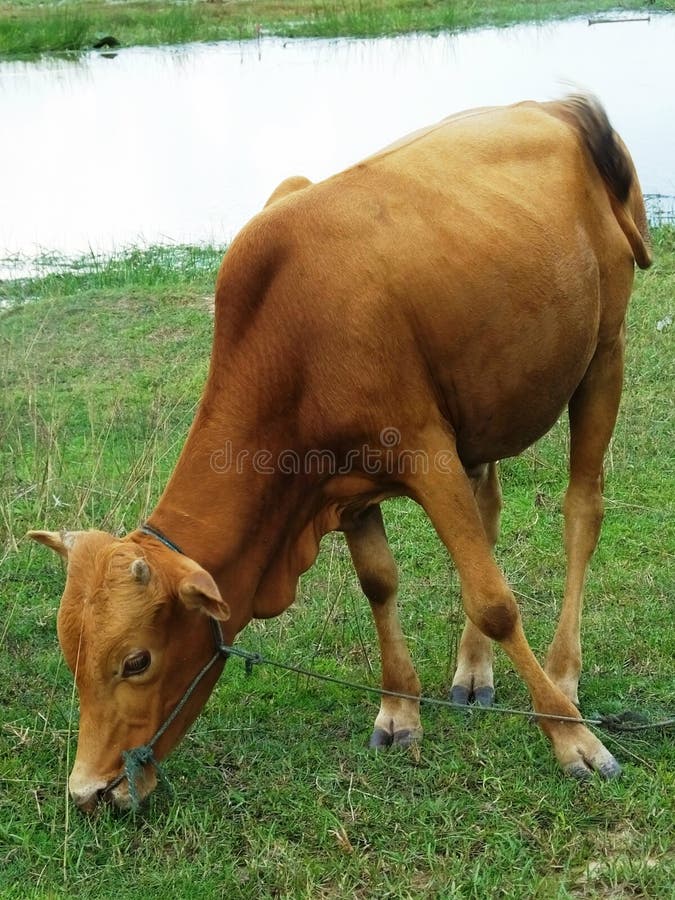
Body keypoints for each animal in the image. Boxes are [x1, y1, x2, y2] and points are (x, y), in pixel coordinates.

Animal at [30, 95, 652, 812]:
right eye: (69, 654)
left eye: (136, 661)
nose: (89, 792)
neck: (292, 336)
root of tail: (553, 106)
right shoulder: (343, 481)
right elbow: (379, 580)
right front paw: (399, 710)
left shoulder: (425, 451)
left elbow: (493, 600)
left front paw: (570, 739)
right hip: (485, 396)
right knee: (492, 506)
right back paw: (472, 672)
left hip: (604, 354)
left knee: (582, 510)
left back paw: (562, 677)